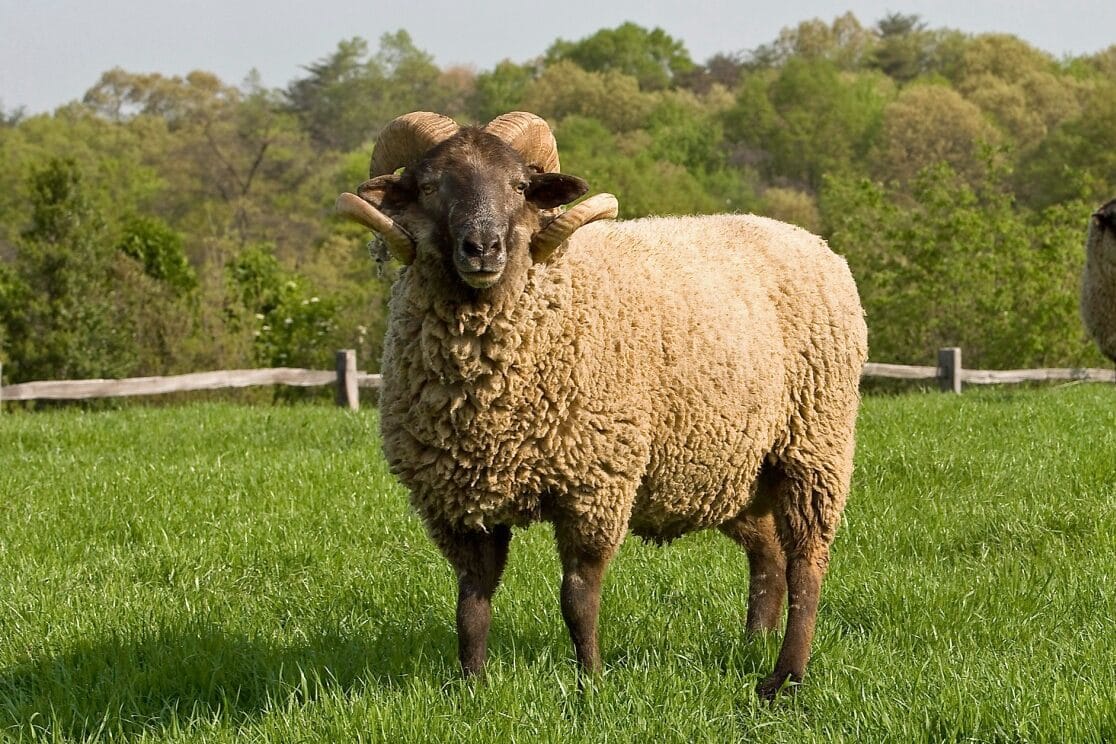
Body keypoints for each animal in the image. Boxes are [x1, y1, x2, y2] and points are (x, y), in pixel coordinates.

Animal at [336, 111, 869, 699]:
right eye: (429, 187)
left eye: (519, 187)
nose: (483, 249)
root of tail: (811, 239)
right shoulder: (457, 501)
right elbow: (471, 603)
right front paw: (472, 687)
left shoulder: (595, 481)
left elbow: (578, 597)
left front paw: (590, 683)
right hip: (732, 469)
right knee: (768, 554)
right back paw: (755, 642)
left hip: (812, 445)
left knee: (806, 563)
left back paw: (785, 677)